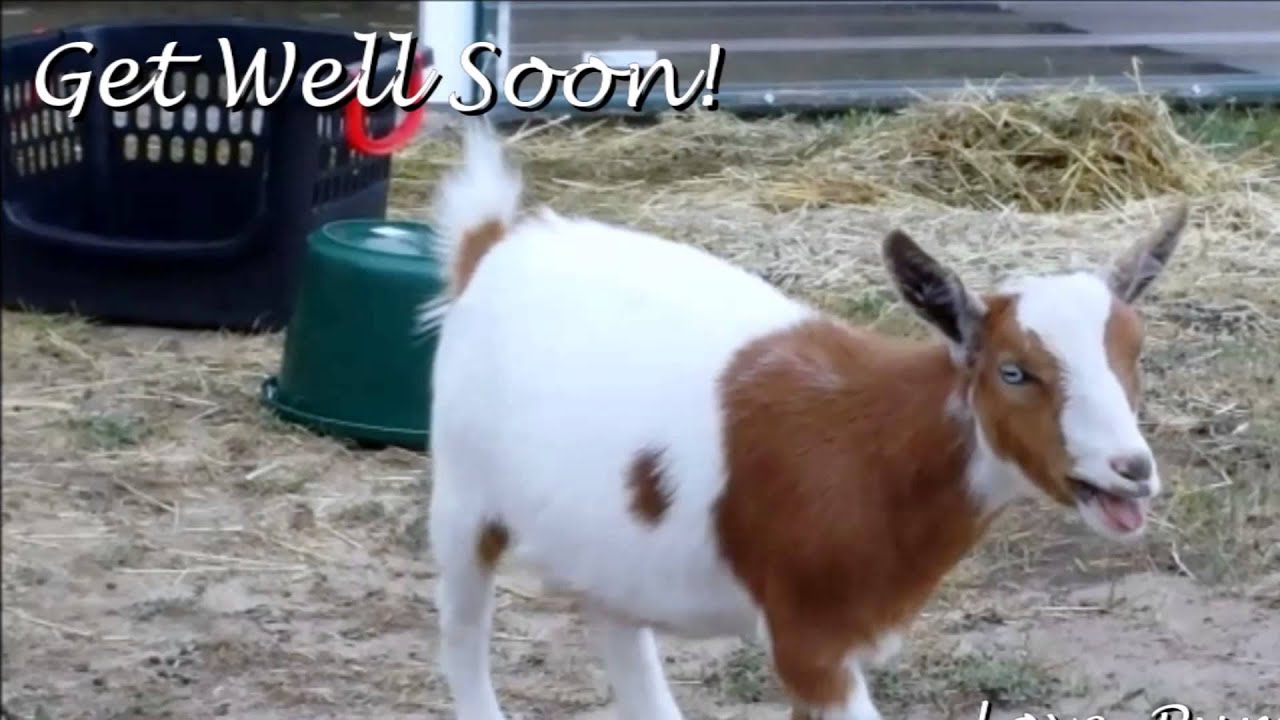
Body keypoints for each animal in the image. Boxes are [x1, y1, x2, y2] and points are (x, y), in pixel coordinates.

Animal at [418, 124, 1189, 720]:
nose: (1131, 469)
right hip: (461, 494)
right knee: (461, 631)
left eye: (1135, 353)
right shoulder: (809, 639)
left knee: (618, 634)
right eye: (1013, 372)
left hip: (606, 542)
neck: (875, 447)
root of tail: (493, 244)